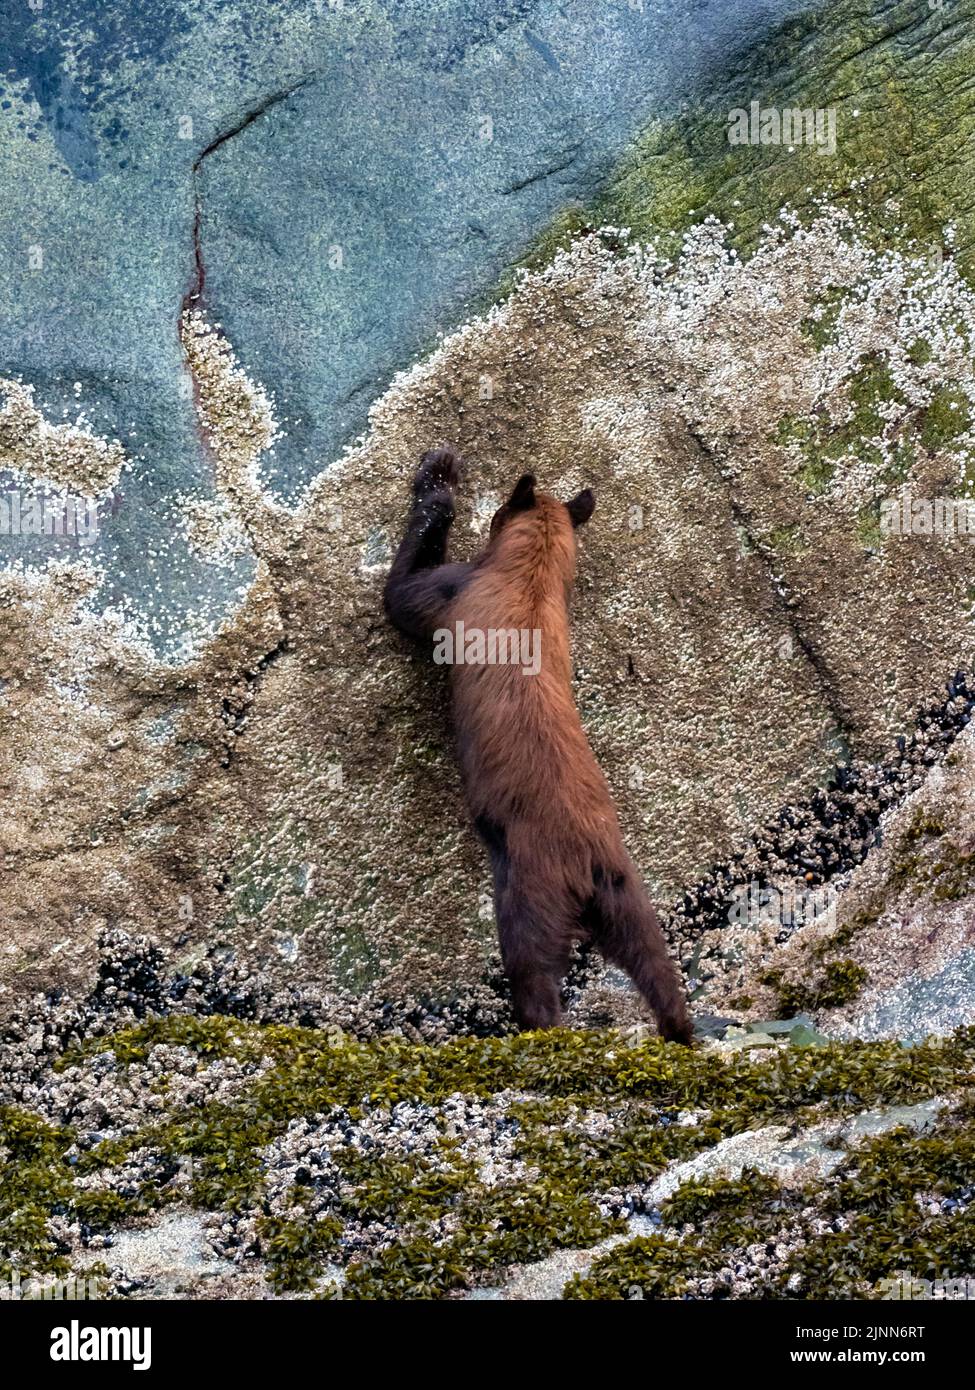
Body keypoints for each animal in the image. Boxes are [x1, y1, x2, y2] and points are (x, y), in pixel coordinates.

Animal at [384, 446, 692, 1043]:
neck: (534, 574)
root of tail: (589, 869)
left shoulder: (455, 591)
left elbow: (402, 594)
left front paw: (438, 476)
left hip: (527, 889)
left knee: (533, 973)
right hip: (629, 895)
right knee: (657, 966)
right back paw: (680, 1030)